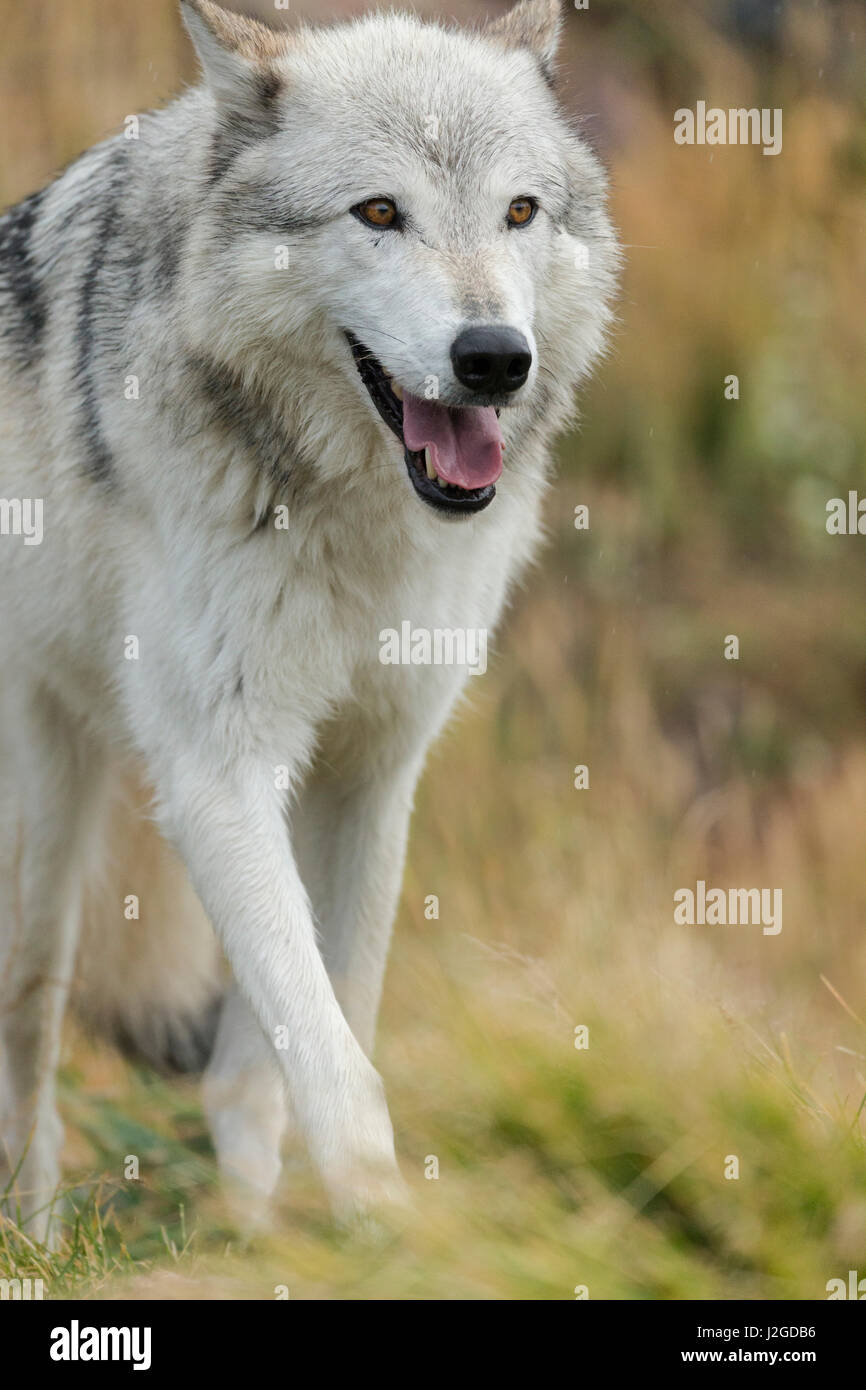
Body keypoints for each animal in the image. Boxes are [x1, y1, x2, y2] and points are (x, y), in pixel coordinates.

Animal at [0, 0, 618, 1240]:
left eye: (518, 211)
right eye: (379, 213)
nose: (493, 358)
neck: (355, 522)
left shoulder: (369, 771)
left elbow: (303, 1042)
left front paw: (289, 1238)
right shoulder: (218, 774)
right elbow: (337, 1071)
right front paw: (387, 1233)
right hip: (42, 845)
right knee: (28, 1049)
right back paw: (32, 1242)